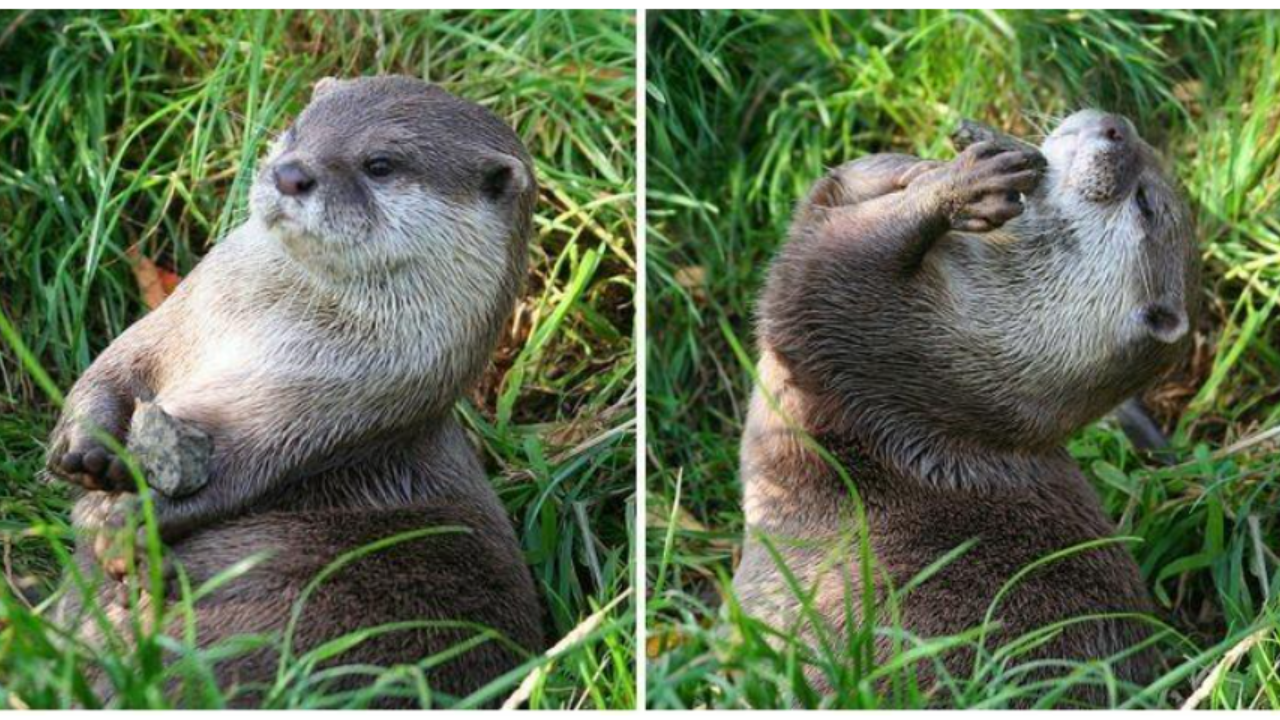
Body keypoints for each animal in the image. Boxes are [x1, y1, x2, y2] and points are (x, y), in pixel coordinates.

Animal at [45, 76, 544, 706]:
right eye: (297, 129)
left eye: (380, 164)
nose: (290, 172)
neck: (255, 333)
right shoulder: (177, 323)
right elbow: (116, 366)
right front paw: (84, 444)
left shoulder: (323, 410)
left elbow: (234, 475)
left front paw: (127, 523)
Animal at [734, 110, 1198, 706]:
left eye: (1144, 202)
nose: (1117, 126)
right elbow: (829, 198)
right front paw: (945, 157)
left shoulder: (868, 335)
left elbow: (830, 264)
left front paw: (961, 186)